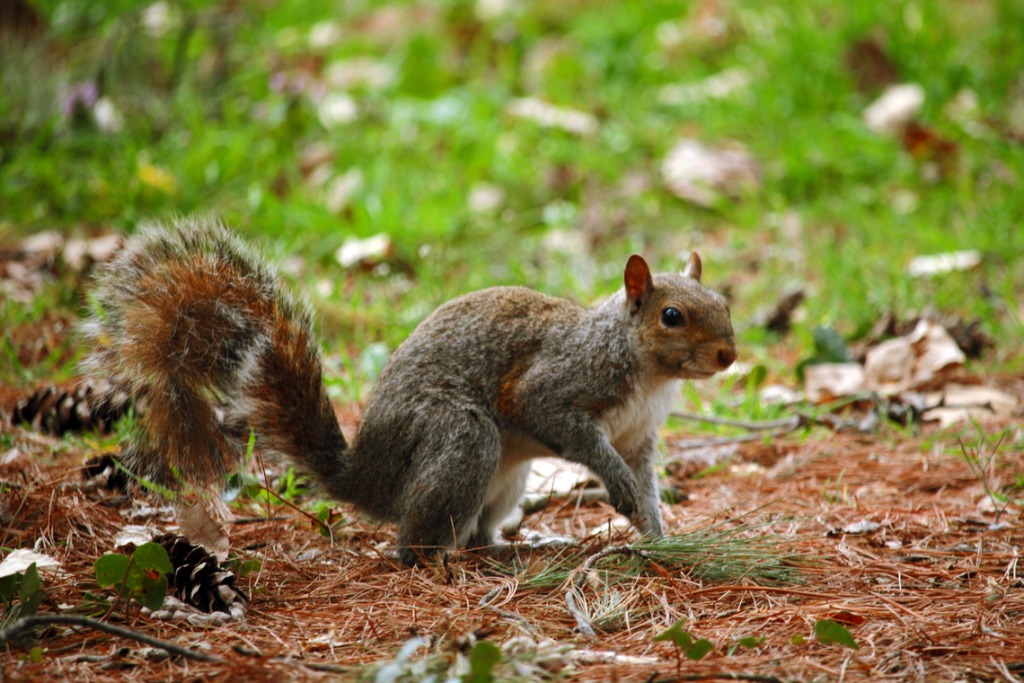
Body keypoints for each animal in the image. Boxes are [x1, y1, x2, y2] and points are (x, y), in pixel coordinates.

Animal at [81, 217, 737, 566]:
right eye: (672, 317)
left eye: (724, 303)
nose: (729, 355)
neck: (650, 375)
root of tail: (368, 478)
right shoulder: (558, 385)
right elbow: (569, 429)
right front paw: (619, 491)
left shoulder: (640, 436)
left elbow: (647, 483)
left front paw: (659, 538)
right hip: (462, 436)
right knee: (413, 542)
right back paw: (442, 559)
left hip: (505, 478)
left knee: (476, 532)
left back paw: (509, 548)